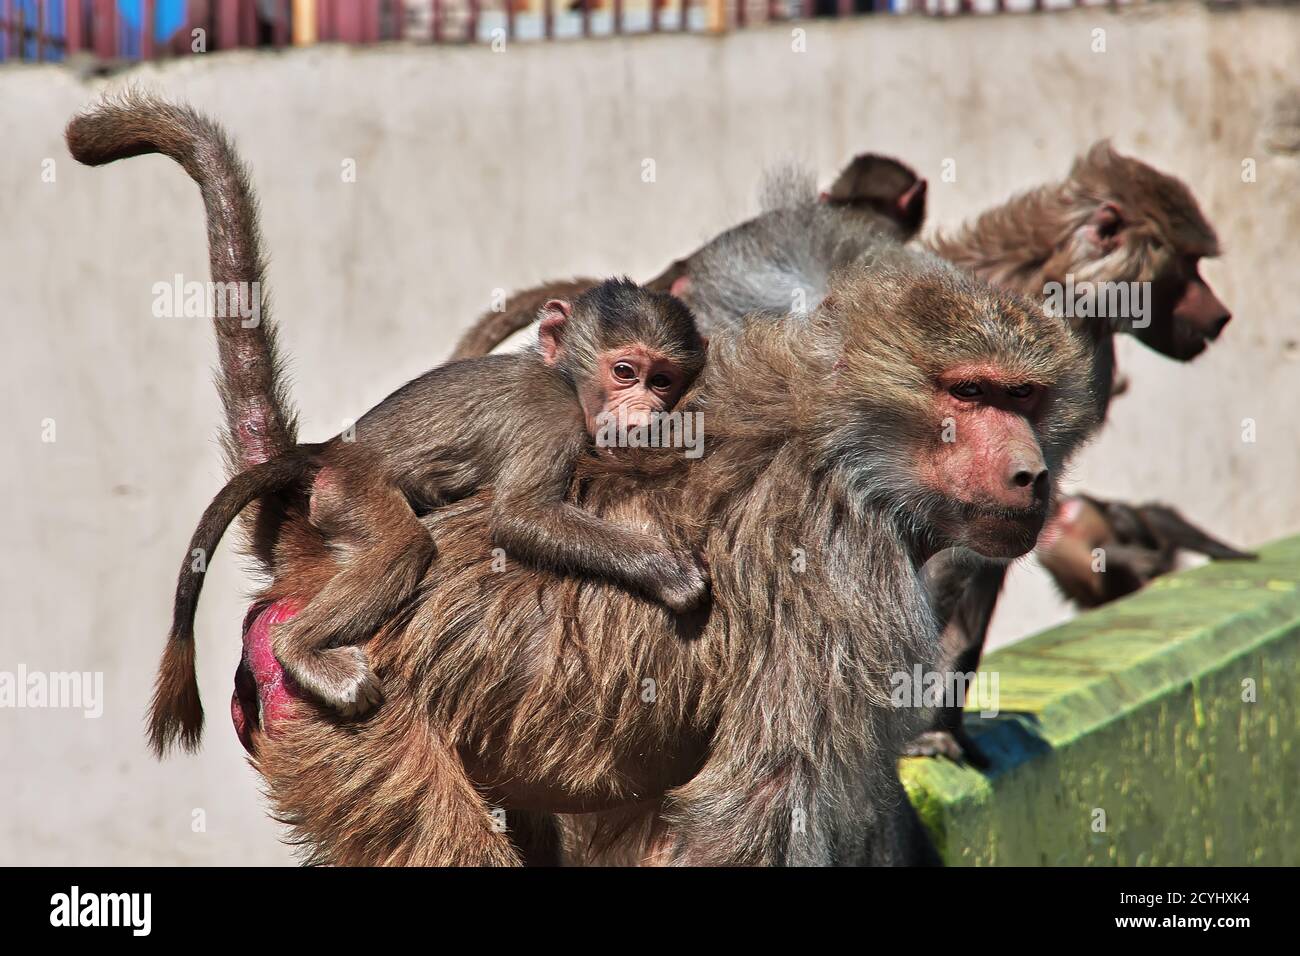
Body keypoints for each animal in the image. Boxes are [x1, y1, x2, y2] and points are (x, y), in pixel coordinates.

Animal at [153, 278, 709, 751]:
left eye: (663, 381)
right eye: (625, 372)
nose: (647, 414)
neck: (565, 381)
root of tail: (333, 450)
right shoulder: (549, 417)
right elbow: (520, 516)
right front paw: (666, 571)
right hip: (350, 491)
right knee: (405, 546)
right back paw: (301, 648)